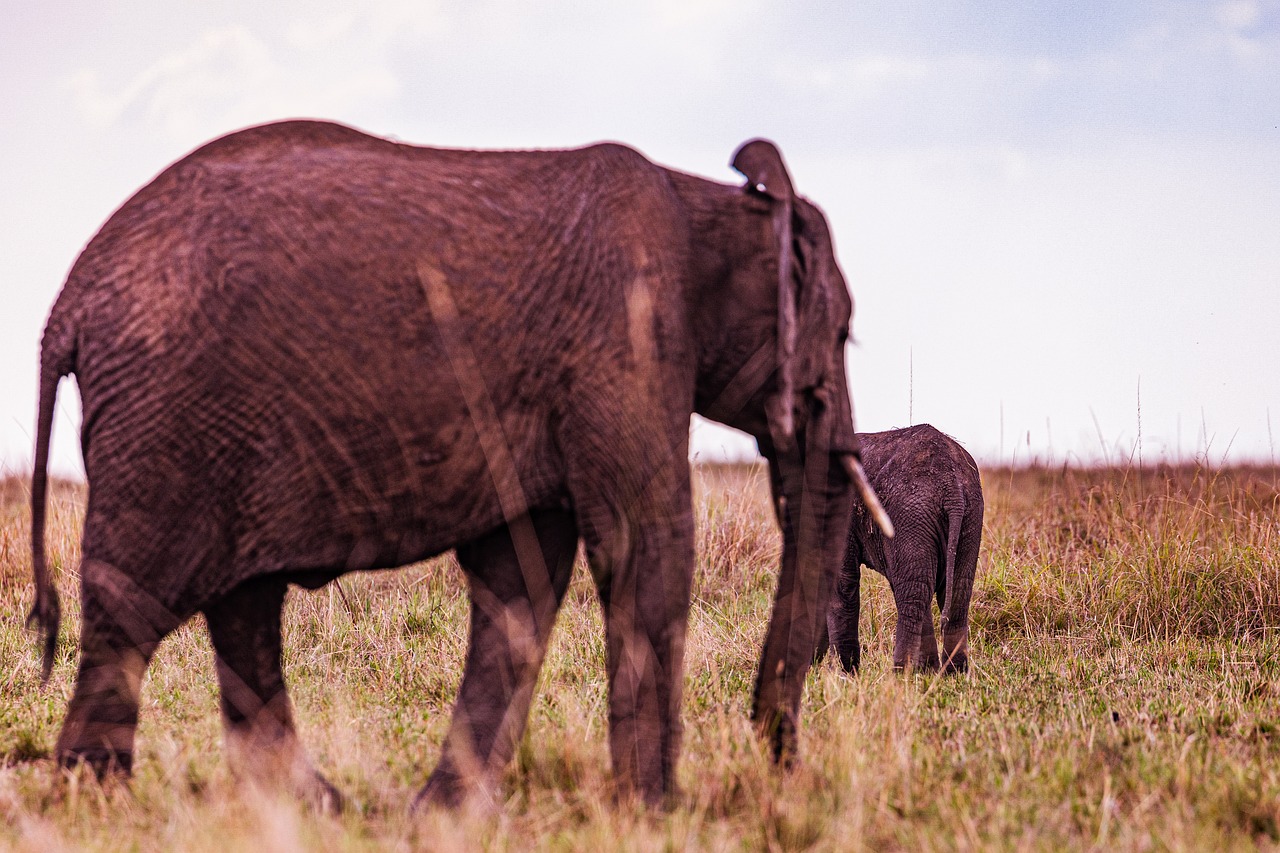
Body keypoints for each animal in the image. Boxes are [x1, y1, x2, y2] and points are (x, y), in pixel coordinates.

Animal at [27, 120, 892, 809]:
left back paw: (315, 808)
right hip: (168, 421)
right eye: (844, 330)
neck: (712, 202)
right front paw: (656, 812)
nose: (779, 761)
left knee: (242, 608)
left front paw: (443, 815)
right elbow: (644, 542)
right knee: (134, 610)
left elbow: (521, 576)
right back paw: (98, 801)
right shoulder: (626, 337)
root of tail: (66, 306)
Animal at [815, 424, 983, 675]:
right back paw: (953, 674)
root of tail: (952, 485)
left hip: (912, 513)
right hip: (969, 513)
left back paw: (899, 675)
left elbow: (842, 582)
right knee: (955, 592)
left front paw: (842, 676)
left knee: (913, 594)